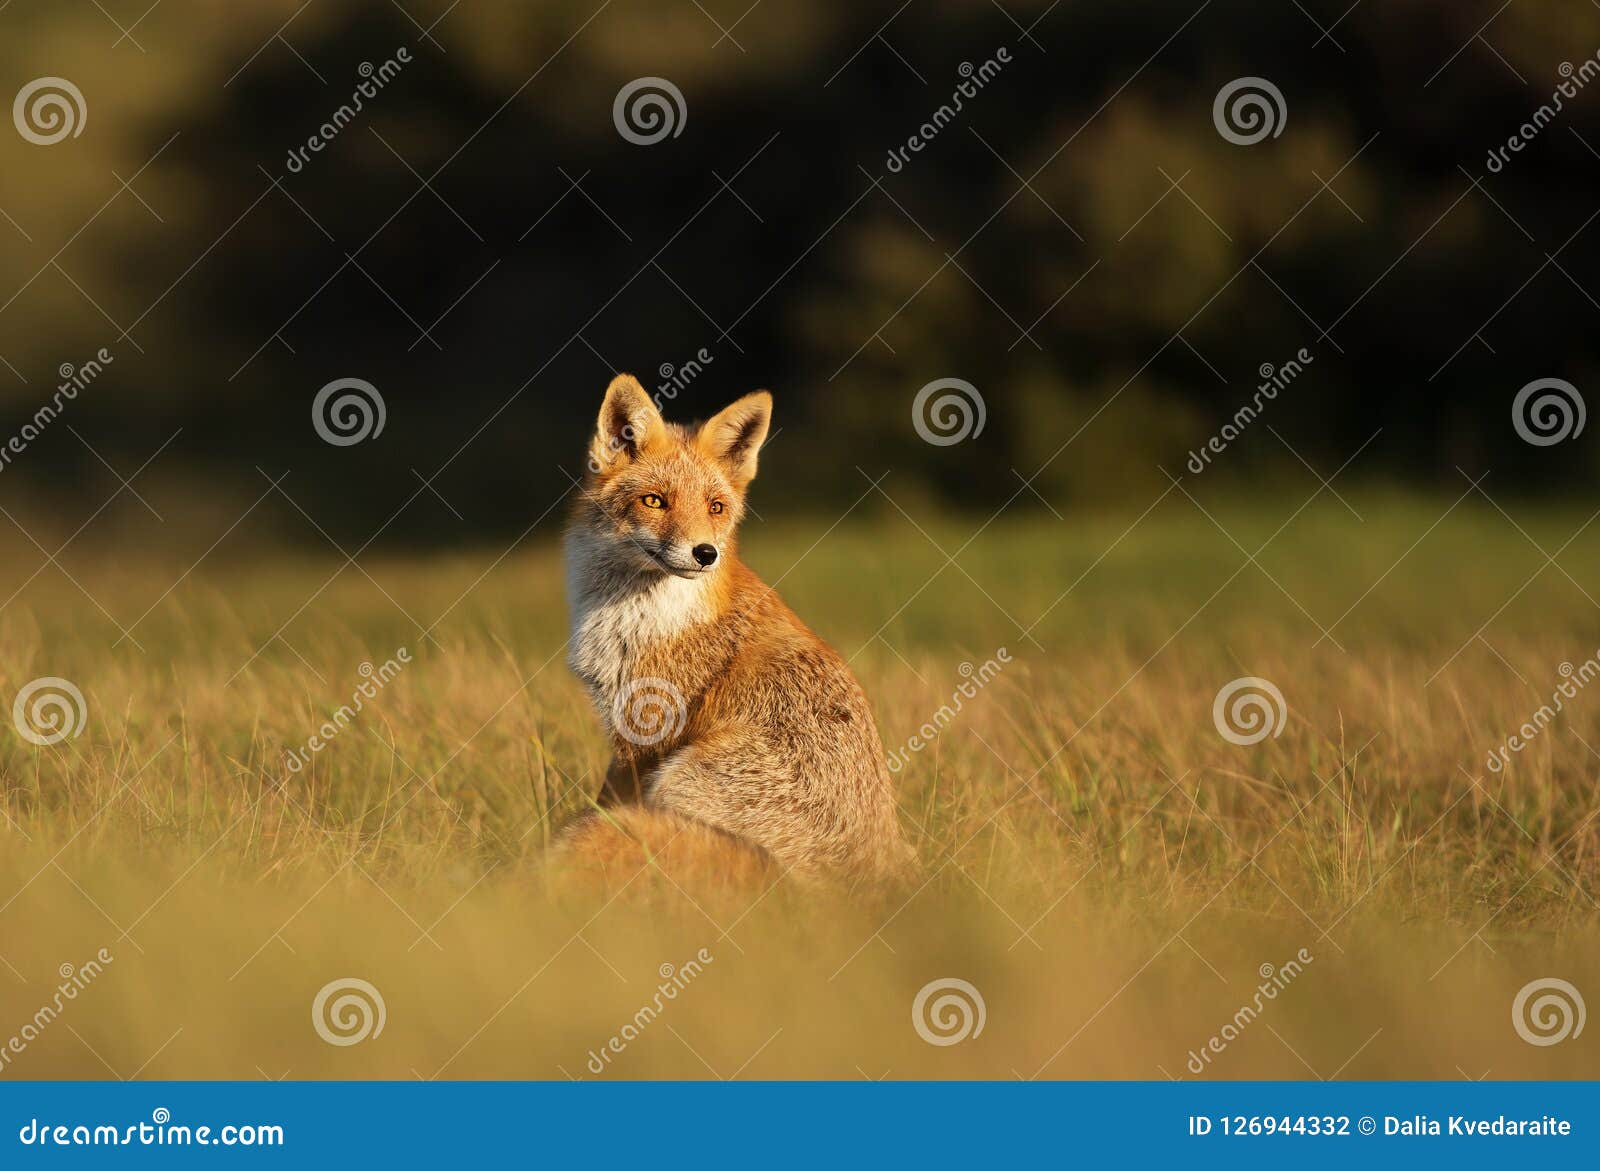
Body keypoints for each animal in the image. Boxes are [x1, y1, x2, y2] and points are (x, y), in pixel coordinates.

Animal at [552, 373, 913, 891]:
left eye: (716, 507)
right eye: (654, 500)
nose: (706, 554)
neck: (636, 618)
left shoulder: (644, 736)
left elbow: (607, 805)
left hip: (679, 779)